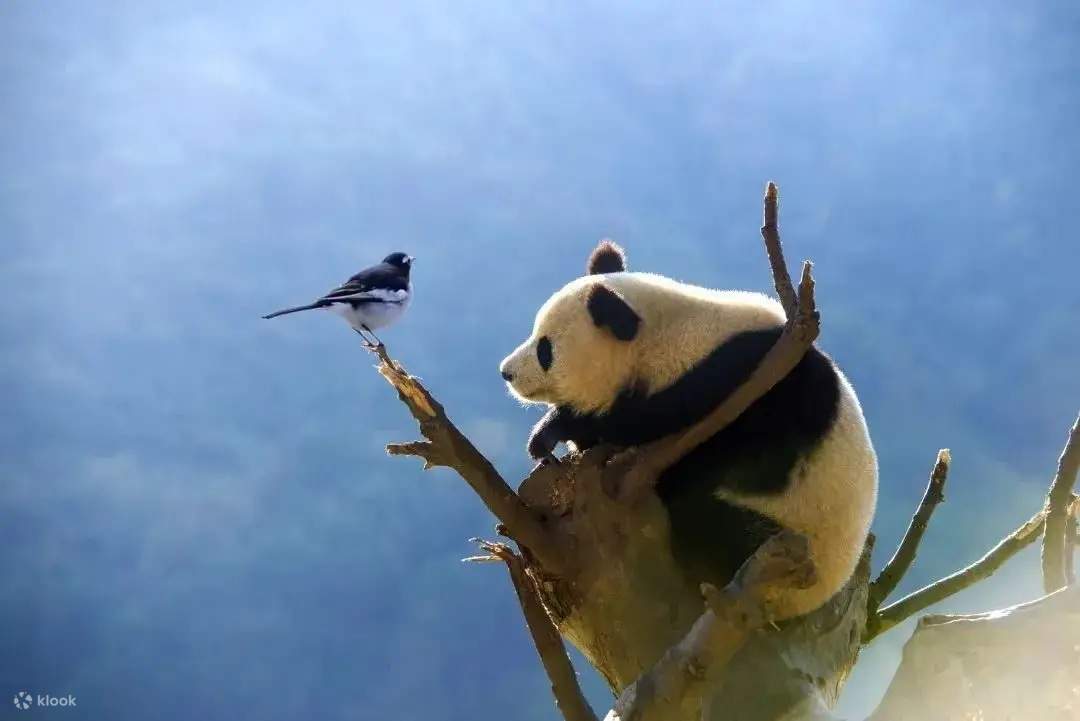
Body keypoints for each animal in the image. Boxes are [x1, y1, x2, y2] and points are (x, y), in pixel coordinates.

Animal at [498, 240, 878, 619]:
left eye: (545, 349)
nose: (507, 372)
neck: (666, 334)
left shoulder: (743, 379)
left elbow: (652, 425)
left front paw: (557, 428)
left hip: (792, 538)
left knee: (710, 520)